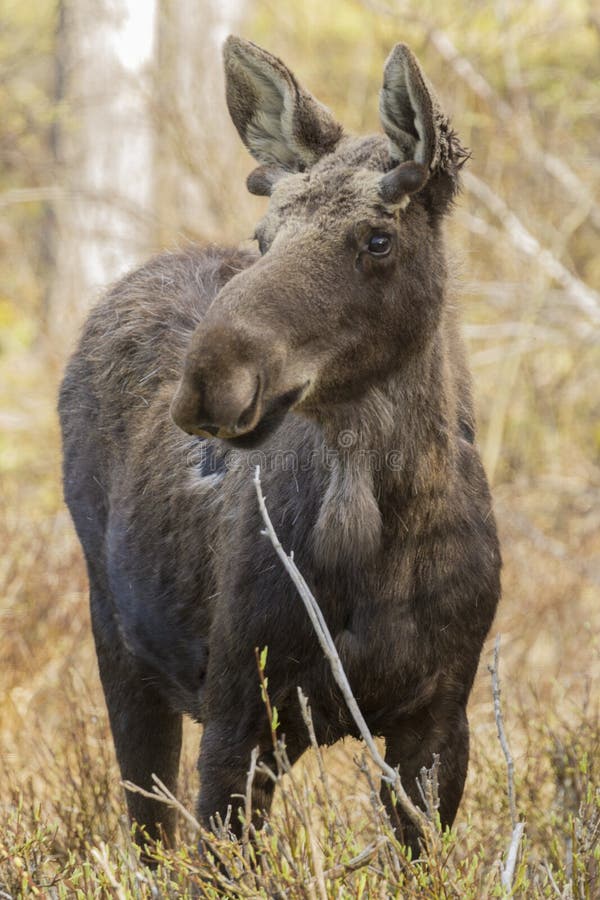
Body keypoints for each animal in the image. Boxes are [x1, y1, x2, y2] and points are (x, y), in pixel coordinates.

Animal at [58, 36, 501, 859]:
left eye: (378, 239)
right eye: (264, 238)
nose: (209, 378)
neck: (382, 538)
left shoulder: (440, 722)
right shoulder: (239, 715)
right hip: (118, 641)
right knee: (150, 834)